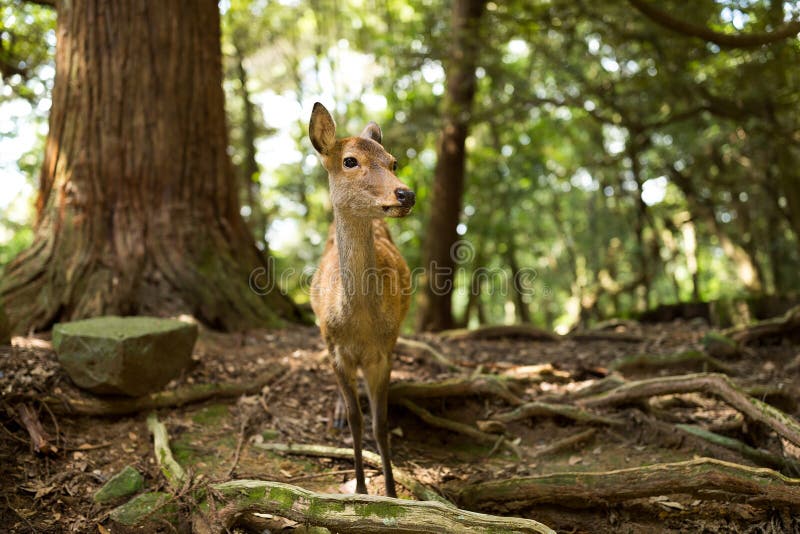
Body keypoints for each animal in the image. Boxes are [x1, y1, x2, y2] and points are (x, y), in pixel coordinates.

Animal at [308, 102, 415, 498]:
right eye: (350, 160)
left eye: (394, 161)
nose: (405, 194)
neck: (361, 324)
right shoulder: (335, 347)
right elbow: (356, 421)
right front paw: (358, 487)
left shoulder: (383, 352)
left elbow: (380, 424)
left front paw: (392, 492)